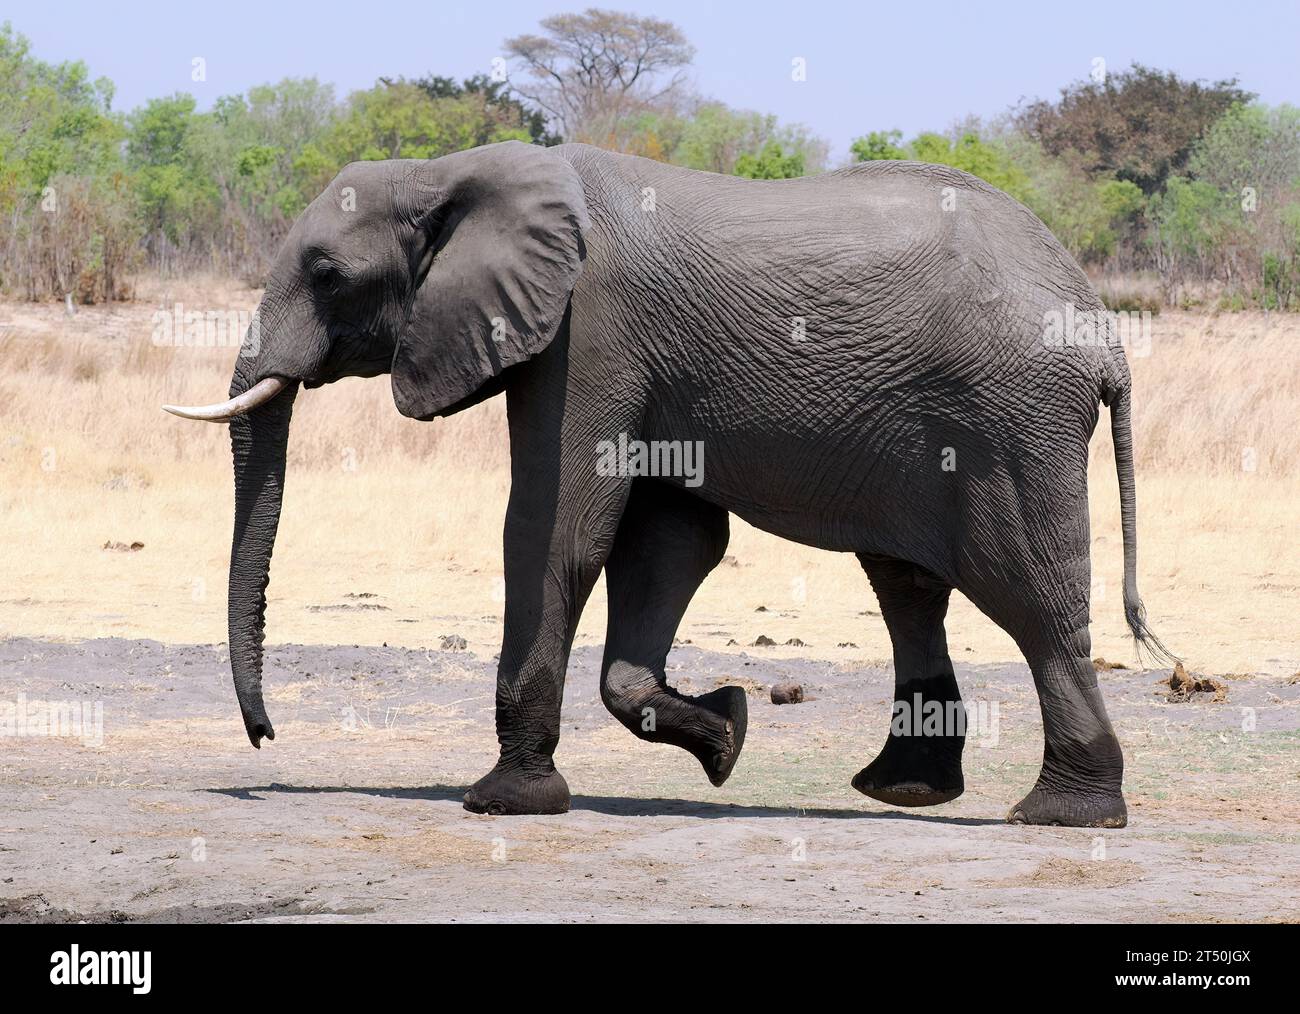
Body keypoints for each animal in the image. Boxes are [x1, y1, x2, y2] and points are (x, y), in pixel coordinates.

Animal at [164, 139, 1172, 827]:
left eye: (327, 273)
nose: (265, 738)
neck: (455, 171)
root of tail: (1105, 335)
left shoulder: (589, 332)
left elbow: (556, 529)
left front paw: (503, 803)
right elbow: (669, 542)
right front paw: (727, 734)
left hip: (1011, 425)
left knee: (1029, 595)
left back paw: (1061, 815)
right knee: (909, 586)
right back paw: (904, 790)